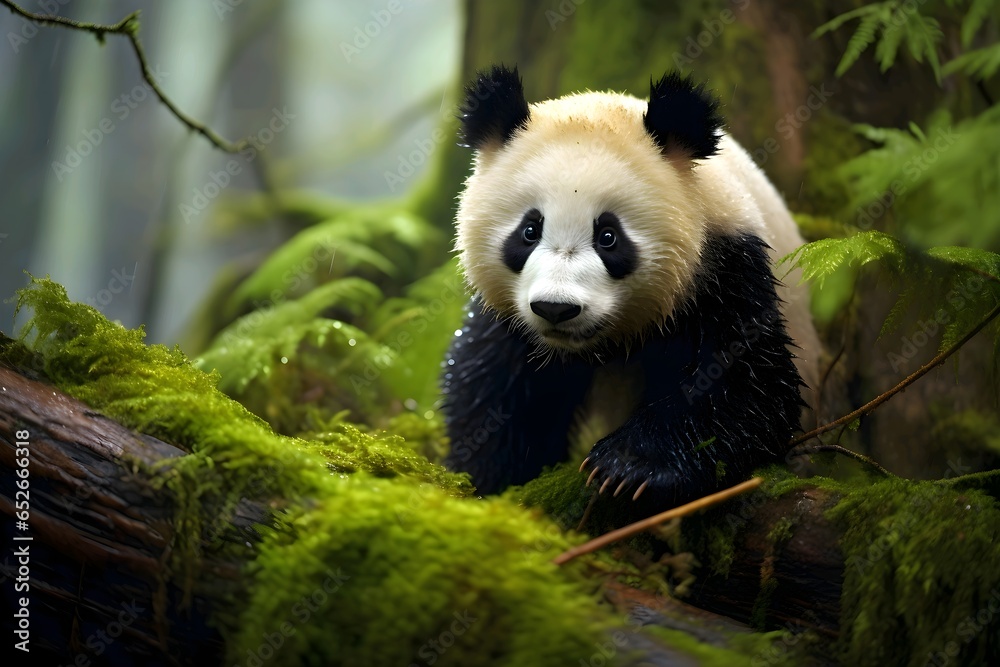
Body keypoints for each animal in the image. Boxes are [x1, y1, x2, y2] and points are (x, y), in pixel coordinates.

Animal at [441, 65, 820, 511]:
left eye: (608, 236)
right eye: (529, 231)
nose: (556, 308)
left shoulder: (726, 266)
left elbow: (745, 384)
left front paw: (627, 467)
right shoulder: (510, 323)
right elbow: (498, 395)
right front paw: (487, 481)